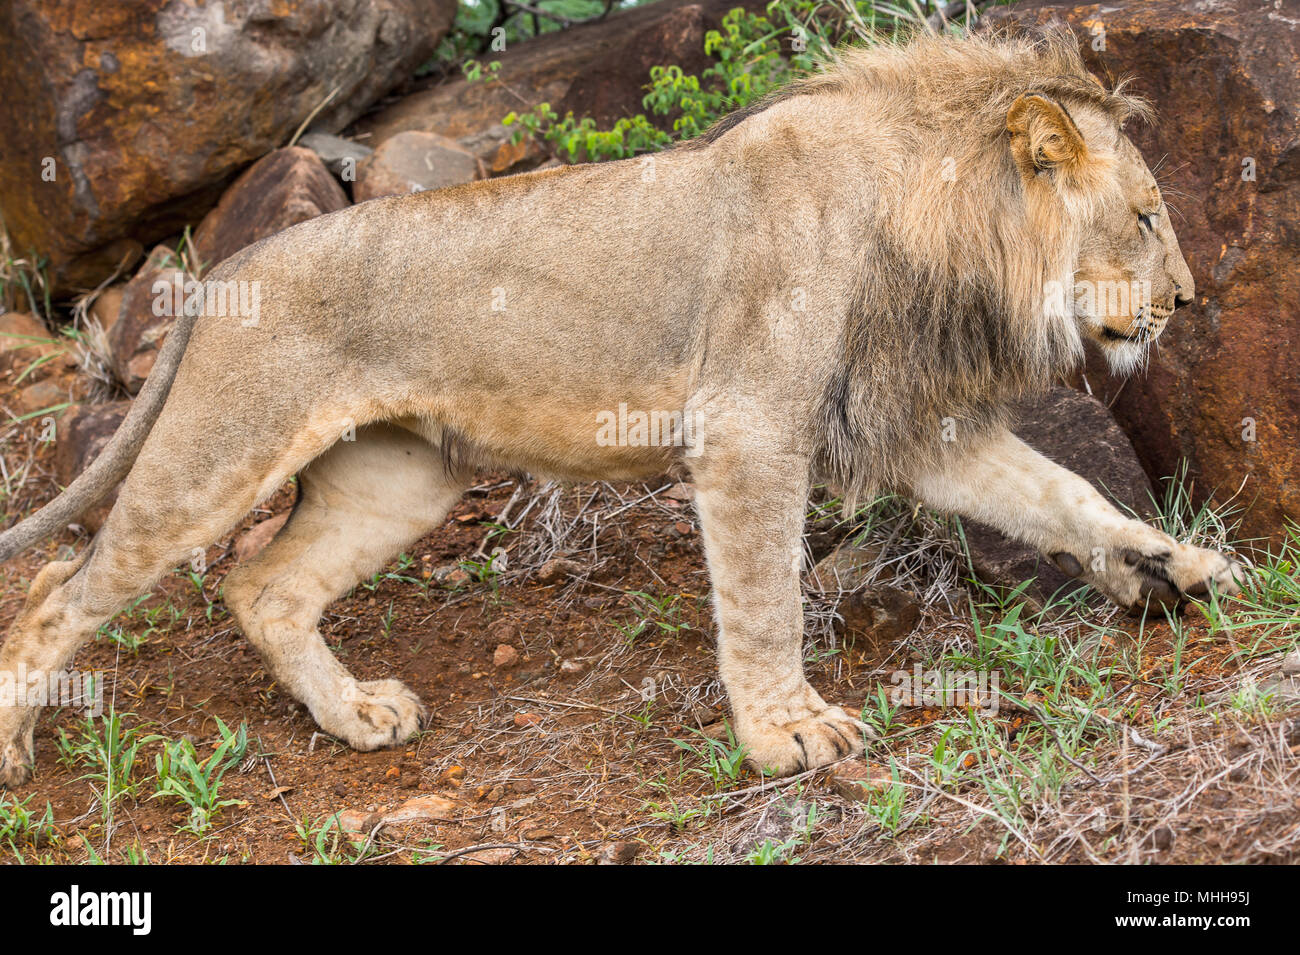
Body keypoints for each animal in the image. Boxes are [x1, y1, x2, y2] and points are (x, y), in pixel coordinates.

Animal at [0, 30, 1244, 786]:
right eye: (1144, 216)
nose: (1189, 299)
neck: (935, 227)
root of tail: (230, 268)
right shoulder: (748, 425)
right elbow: (762, 600)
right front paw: (786, 731)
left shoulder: (903, 419)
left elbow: (1064, 493)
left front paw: (1175, 565)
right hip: (220, 452)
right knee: (61, 589)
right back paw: (15, 748)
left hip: (394, 477)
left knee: (264, 587)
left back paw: (357, 714)